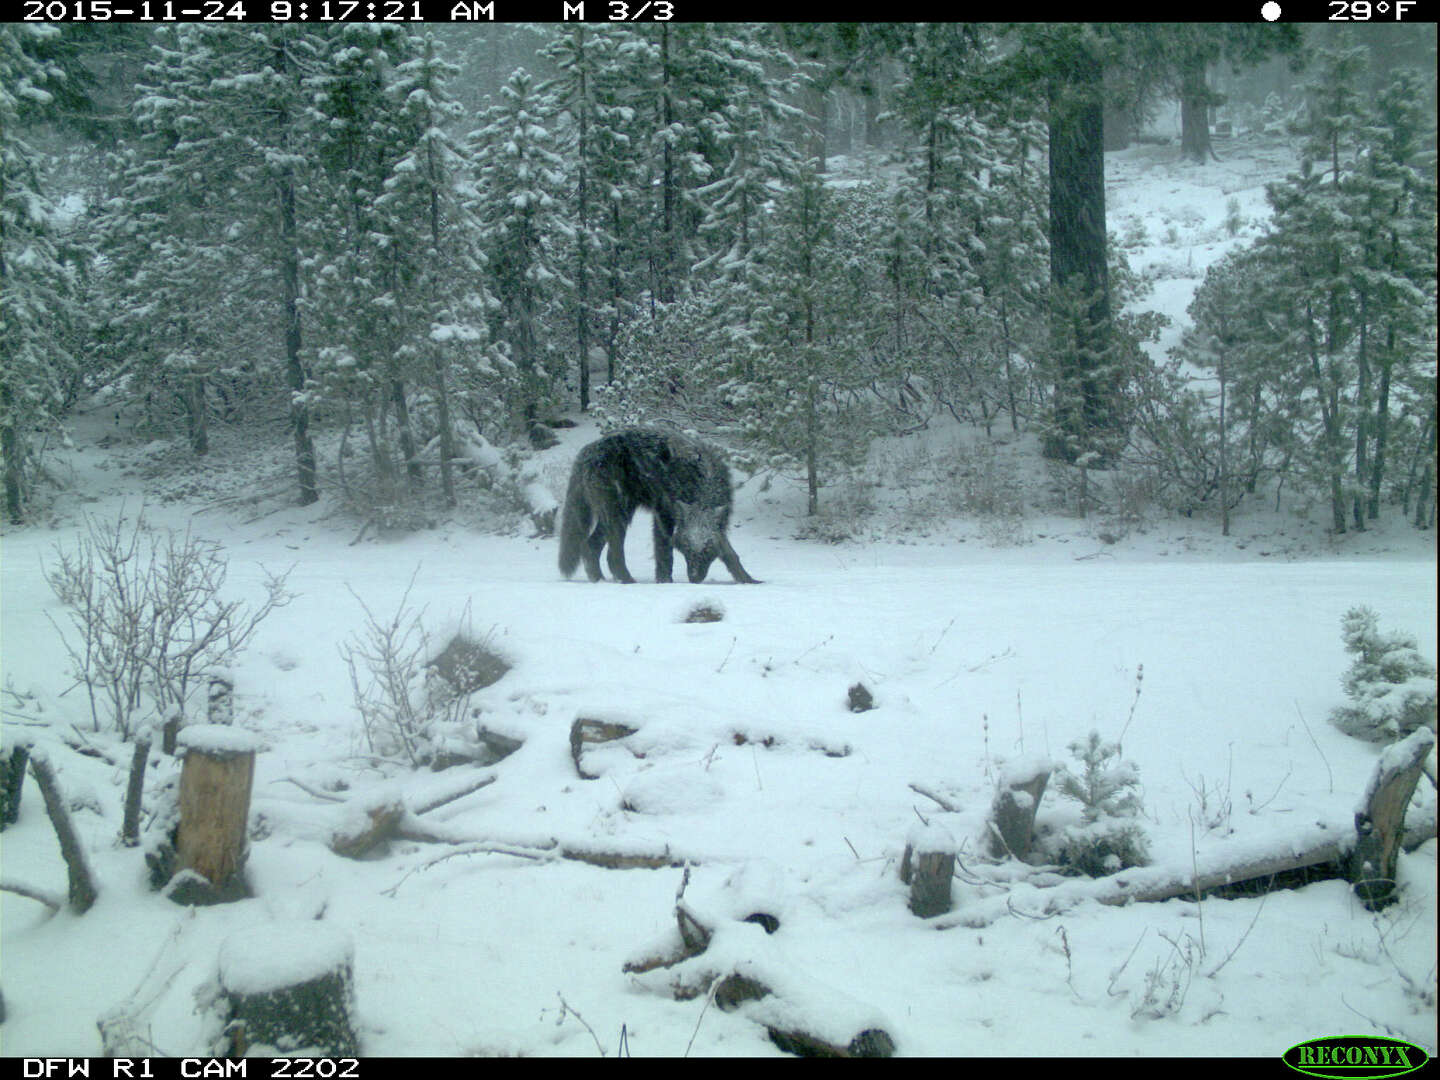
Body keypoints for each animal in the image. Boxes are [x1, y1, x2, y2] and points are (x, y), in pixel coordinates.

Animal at [558, 428, 760, 584]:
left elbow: (731, 554)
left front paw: (748, 580)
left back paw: (598, 580)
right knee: (613, 556)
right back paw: (626, 581)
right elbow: (665, 553)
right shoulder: (663, 514)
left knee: (590, 545)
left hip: (617, 515)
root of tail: (587, 450)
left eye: (707, 550)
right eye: (686, 548)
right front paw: (664, 582)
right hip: (619, 515)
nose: (694, 579)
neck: (702, 477)